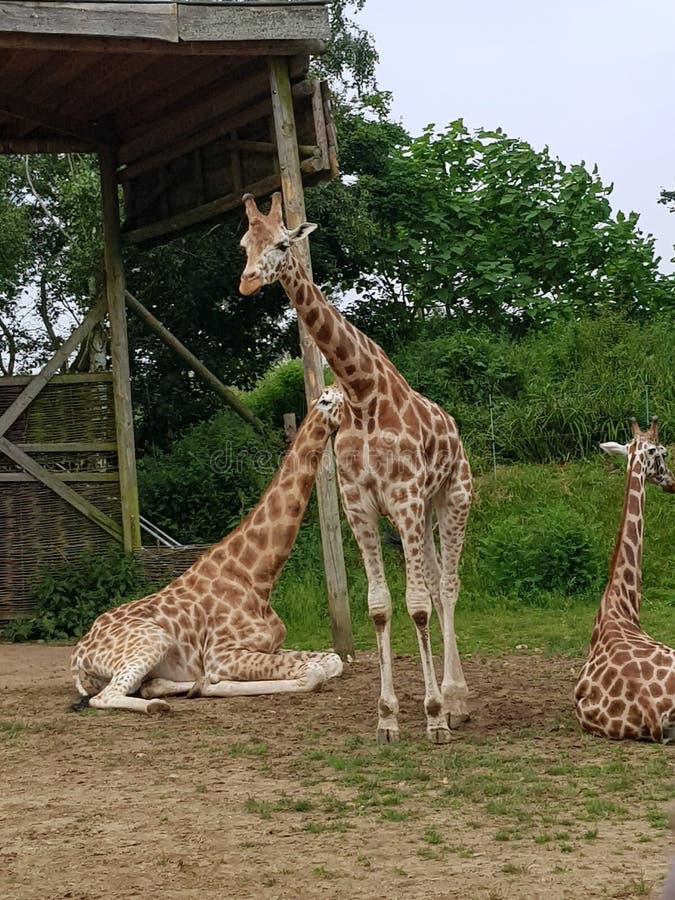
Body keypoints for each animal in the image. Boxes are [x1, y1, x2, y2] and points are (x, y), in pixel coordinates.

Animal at [70, 388, 345, 714]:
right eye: (337, 400)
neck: (259, 577)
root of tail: (78, 653)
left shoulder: (273, 646)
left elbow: (333, 660)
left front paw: (204, 685)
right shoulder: (222, 654)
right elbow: (314, 673)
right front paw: (213, 684)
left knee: (145, 685)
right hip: (152, 640)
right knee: (105, 697)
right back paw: (161, 704)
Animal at [238, 193, 472, 744]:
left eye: (282, 244)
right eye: (244, 244)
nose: (247, 282)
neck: (363, 395)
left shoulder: (404, 497)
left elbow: (417, 605)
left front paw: (433, 716)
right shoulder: (360, 504)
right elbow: (381, 607)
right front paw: (388, 718)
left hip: (452, 498)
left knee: (448, 587)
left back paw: (456, 700)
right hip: (423, 512)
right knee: (436, 581)